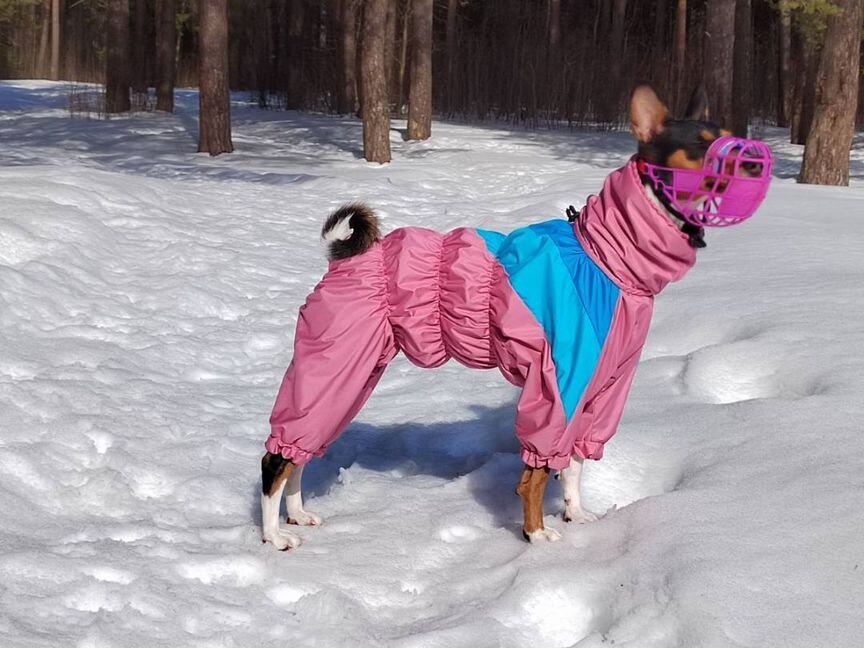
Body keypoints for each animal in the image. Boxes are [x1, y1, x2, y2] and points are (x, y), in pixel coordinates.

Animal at [256, 83, 768, 548]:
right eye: (701, 144)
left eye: (728, 136)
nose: (753, 162)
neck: (607, 259)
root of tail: (345, 258)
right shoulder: (556, 390)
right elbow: (536, 476)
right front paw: (536, 534)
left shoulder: (597, 395)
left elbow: (573, 468)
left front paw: (576, 515)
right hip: (331, 370)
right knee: (276, 459)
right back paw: (273, 535)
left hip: (346, 379)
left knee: (301, 454)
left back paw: (298, 515)